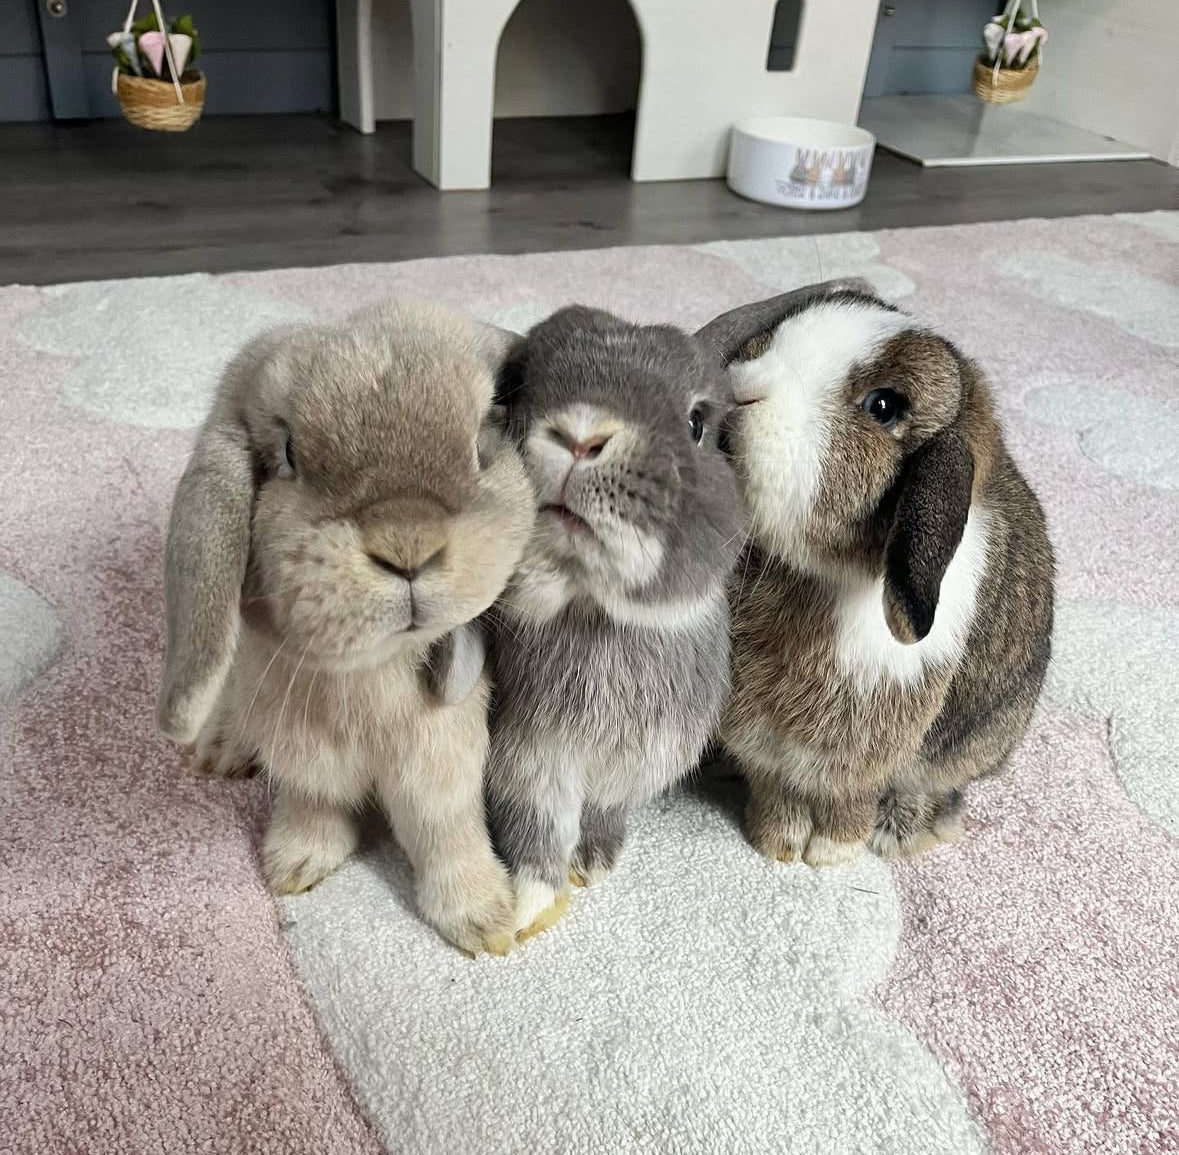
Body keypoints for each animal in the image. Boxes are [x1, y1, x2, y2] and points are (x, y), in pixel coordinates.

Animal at [156, 297, 535, 955]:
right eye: (288, 454)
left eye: (482, 439)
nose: (406, 544)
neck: (366, 675)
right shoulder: (303, 757)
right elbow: (314, 805)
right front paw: (294, 865)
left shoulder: (441, 761)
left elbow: (444, 830)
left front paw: (484, 919)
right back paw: (222, 749)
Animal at [484, 305, 747, 940]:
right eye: (516, 386)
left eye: (697, 423)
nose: (580, 435)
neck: (590, 607)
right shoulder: (526, 764)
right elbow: (533, 833)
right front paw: (528, 907)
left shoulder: (631, 768)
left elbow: (601, 814)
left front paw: (595, 861)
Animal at [700, 281, 1055, 866]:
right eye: (773, 334)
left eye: (884, 406)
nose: (739, 392)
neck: (810, 574)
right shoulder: (760, 736)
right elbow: (774, 786)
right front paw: (776, 841)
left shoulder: (862, 744)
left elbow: (847, 796)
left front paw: (828, 850)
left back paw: (905, 830)